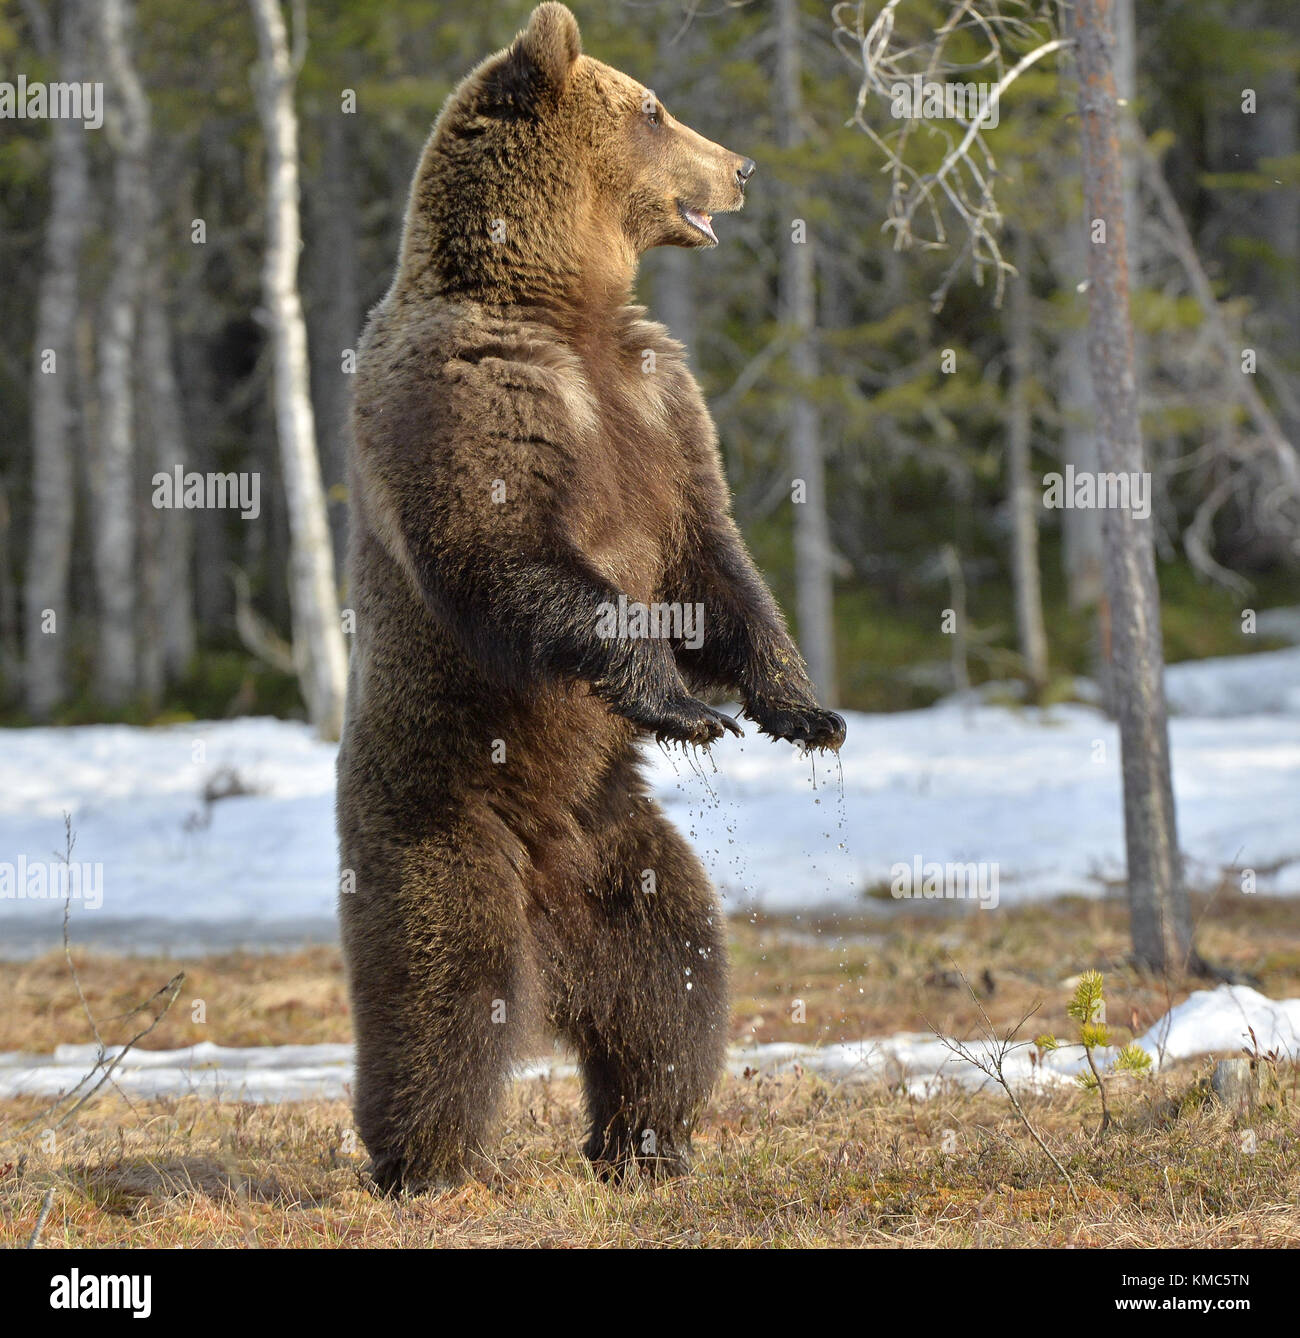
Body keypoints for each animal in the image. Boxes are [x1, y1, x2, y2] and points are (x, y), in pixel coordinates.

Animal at [337, 1, 845, 1195]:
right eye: (655, 108)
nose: (741, 166)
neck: (563, 304)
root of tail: (548, 922)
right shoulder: (475, 395)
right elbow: (511, 555)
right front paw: (683, 706)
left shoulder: (660, 408)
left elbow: (714, 566)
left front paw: (802, 709)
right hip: (440, 810)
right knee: (443, 989)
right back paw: (424, 1163)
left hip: (620, 848)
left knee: (674, 984)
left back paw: (646, 1141)